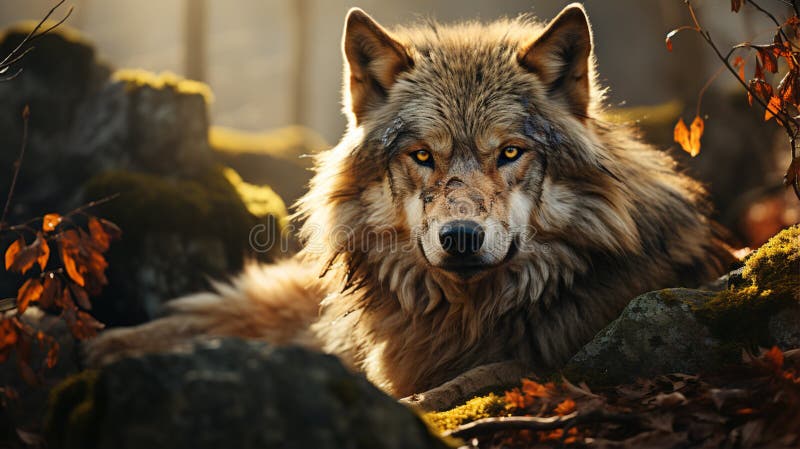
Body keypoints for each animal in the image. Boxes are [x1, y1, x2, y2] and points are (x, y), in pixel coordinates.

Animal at [86, 4, 731, 410]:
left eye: (510, 152)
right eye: (423, 155)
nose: (461, 236)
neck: (466, 317)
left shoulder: (555, 352)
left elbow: (475, 380)